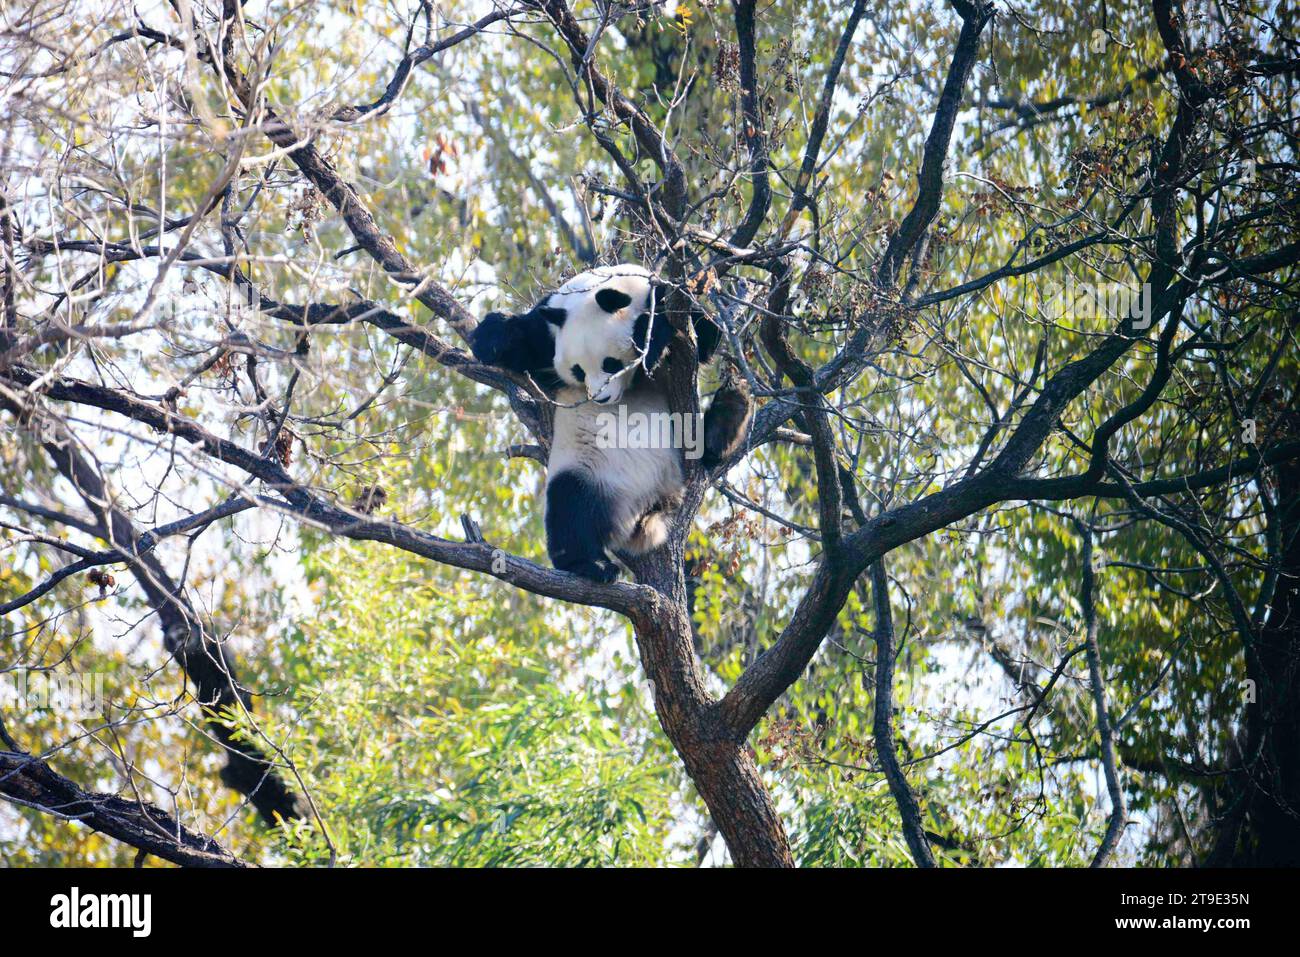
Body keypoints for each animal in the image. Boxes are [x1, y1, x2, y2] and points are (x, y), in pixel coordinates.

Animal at [469, 264, 752, 582]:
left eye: (611, 363)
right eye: (578, 371)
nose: (600, 398)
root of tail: (645, 509)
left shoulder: (667, 299)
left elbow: (705, 337)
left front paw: (650, 335)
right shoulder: (547, 333)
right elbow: (521, 345)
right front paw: (490, 336)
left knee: (704, 444)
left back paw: (729, 414)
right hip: (588, 470)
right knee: (569, 507)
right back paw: (591, 565)